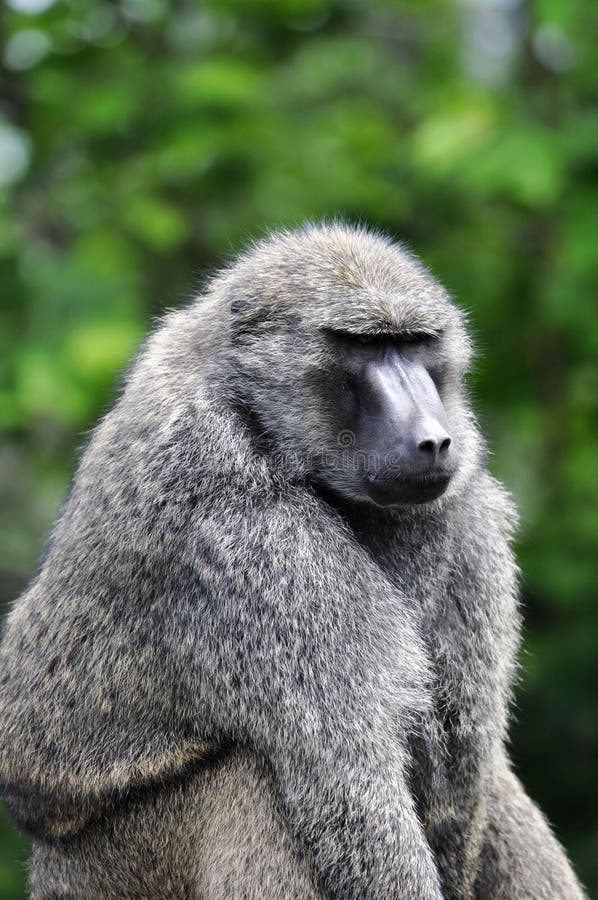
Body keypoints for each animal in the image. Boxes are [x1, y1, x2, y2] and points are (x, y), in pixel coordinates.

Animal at [0, 222, 586, 900]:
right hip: (109, 868)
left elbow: (456, 793)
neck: (257, 417)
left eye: (415, 343)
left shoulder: (464, 516)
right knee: (251, 777)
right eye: (361, 344)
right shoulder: (237, 529)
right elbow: (353, 794)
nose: (435, 439)